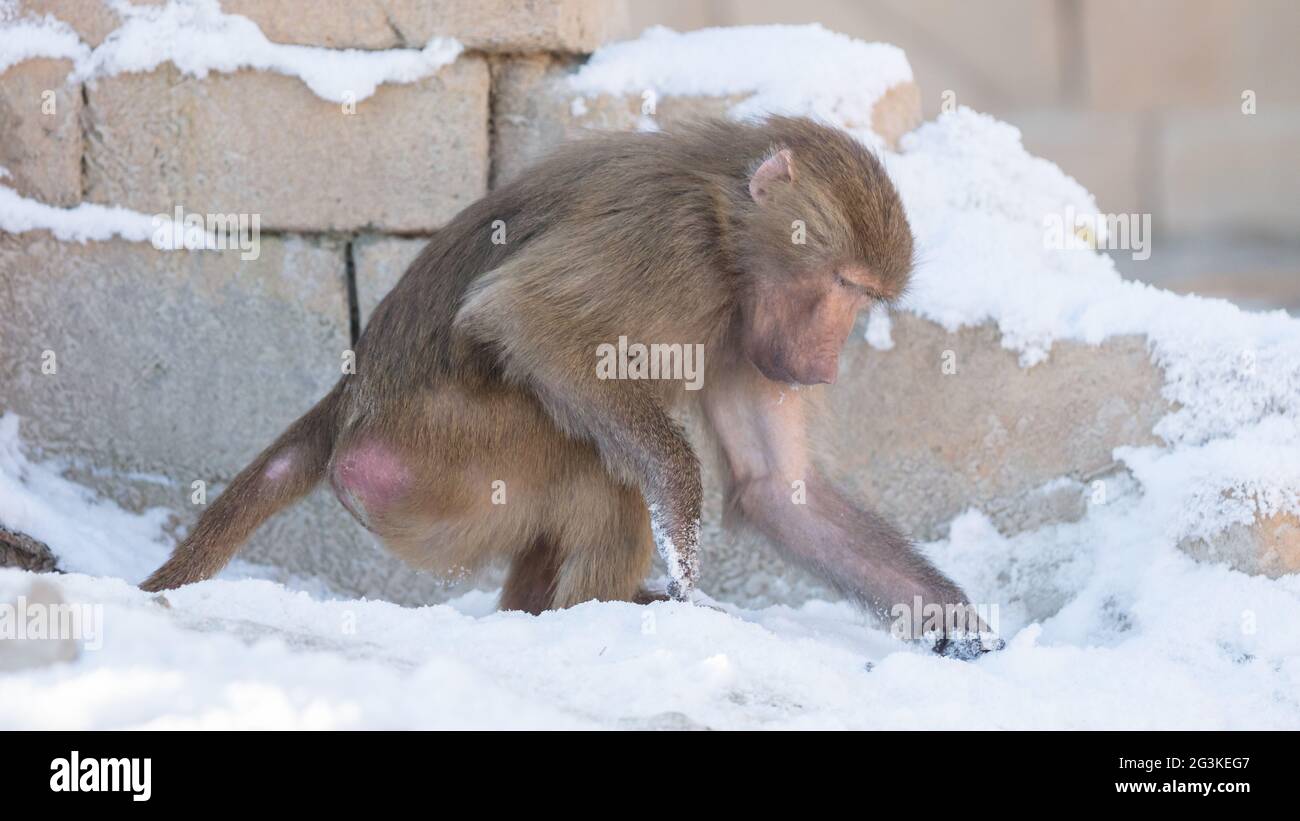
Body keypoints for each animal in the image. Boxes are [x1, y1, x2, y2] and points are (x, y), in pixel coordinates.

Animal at [141, 115, 999, 659]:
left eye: (864, 297)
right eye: (844, 284)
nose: (825, 364)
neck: (725, 235)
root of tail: (352, 404)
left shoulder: (747, 337)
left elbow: (776, 489)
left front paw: (956, 622)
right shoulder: (664, 244)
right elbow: (522, 318)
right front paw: (684, 543)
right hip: (430, 465)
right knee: (596, 472)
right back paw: (589, 616)